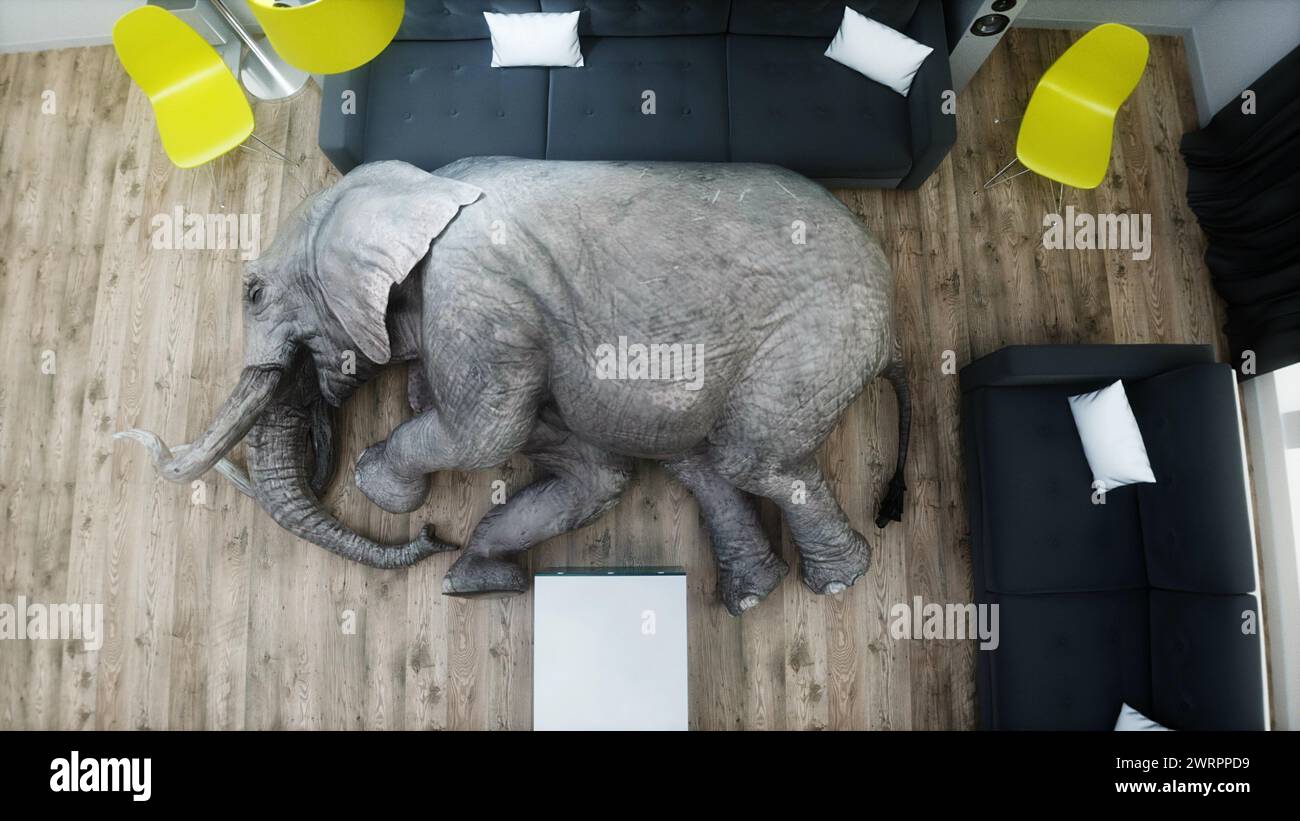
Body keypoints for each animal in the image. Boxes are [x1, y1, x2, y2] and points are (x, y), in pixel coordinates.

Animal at [119, 157, 910, 615]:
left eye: (253, 293)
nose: (430, 536)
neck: (414, 189)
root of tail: (894, 333)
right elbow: (589, 469)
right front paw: (471, 584)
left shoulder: (475, 290)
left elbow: (485, 432)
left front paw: (386, 490)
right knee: (697, 459)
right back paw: (752, 598)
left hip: (817, 337)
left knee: (753, 459)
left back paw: (837, 584)